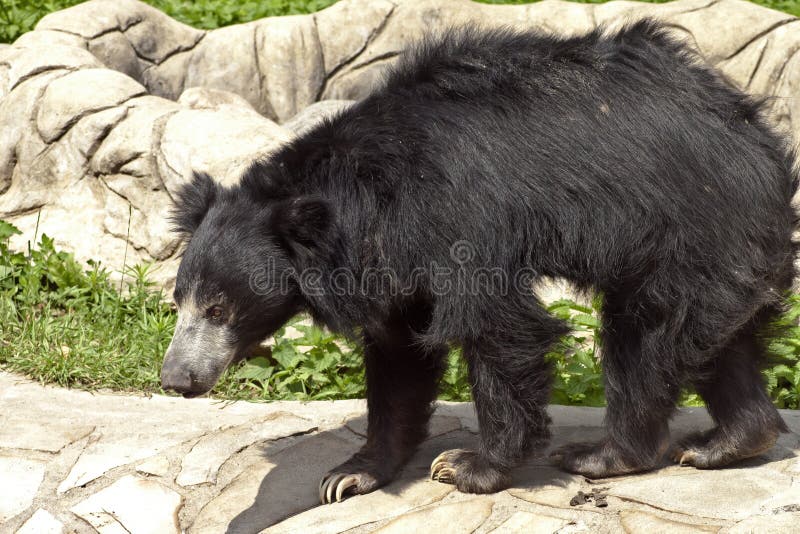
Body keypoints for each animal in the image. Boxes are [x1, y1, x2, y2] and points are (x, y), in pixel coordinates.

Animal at [160, 20, 797, 503]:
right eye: (179, 301)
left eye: (218, 309)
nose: (176, 381)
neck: (365, 201)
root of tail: (757, 135)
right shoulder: (391, 258)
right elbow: (399, 352)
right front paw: (350, 475)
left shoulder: (462, 216)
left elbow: (496, 326)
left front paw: (467, 466)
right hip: (723, 247)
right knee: (720, 340)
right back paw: (731, 441)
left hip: (683, 229)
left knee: (644, 335)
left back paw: (602, 455)